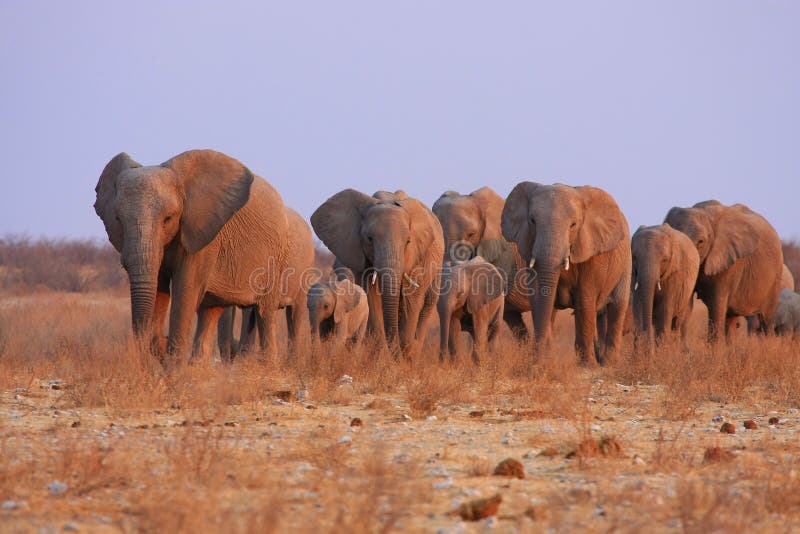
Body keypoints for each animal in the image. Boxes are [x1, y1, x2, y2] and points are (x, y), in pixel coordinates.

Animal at [94, 149, 290, 363]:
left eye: (168, 218)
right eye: (118, 220)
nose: (141, 358)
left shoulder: (204, 235)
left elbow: (185, 290)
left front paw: (172, 367)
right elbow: (160, 289)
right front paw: (161, 346)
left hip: (274, 258)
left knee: (264, 311)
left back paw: (268, 365)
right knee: (211, 311)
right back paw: (200, 365)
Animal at [311, 190, 444, 354]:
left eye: (408, 242)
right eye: (370, 239)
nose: (396, 351)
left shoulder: (419, 256)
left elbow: (411, 299)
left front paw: (404, 352)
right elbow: (371, 294)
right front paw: (380, 351)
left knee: (427, 305)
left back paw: (414, 349)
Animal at [501, 182, 631, 364]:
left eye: (573, 225)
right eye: (532, 221)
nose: (536, 357)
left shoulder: (592, 251)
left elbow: (585, 298)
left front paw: (588, 365)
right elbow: (539, 297)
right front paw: (545, 360)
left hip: (626, 262)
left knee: (617, 306)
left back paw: (609, 363)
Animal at [630, 223, 700, 353]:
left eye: (664, 260)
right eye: (635, 257)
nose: (649, 352)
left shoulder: (675, 274)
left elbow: (665, 308)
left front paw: (660, 354)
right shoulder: (633, 272)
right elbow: (638, 305)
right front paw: (639, 354)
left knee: (676, 323)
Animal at [664, 201, 783, 342]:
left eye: (701, 242)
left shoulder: (729, 263)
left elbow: (716, 306)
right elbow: (687, 303)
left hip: (775, 276)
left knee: (766, 319)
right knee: (731, 319)